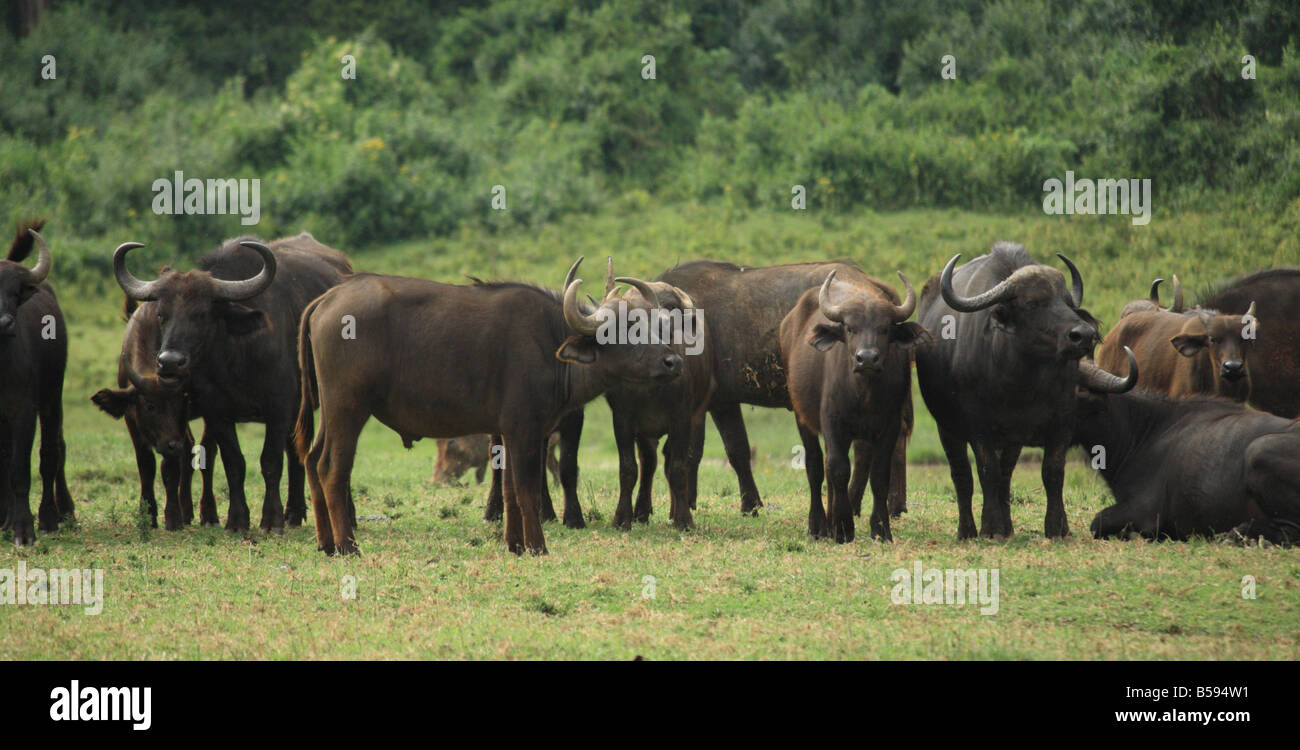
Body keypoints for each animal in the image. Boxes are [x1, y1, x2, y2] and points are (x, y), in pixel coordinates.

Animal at [112, 231, 352, 532]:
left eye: (201, 314)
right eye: (161, 315)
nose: (169, 361)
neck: (236, 357)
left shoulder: (279, 407)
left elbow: (270, 461)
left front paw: (271, 519)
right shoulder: (216, 411)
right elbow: (233, 463)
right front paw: (237, 520)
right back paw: (293, 513)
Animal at [293, 258, 683, 555]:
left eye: (652, 324)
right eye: (627, 329)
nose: (673, 361)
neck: (550, 341)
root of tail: (327, 299)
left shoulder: (509, 432)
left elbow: (509, 489)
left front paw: (515, 545)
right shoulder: (525, 428)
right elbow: (527, 488)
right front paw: (537, 546)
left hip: (330, 412)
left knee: (311, 458)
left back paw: (325, 543)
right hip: (348, 409)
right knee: (332, 469)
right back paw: (347, 546)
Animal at [781, 269, 929, 543]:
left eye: (884, 328)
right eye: (850, 328)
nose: (867, 358)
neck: (863, 393)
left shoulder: (890, 425)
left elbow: (879, 474)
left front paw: (880, 529)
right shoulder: (832, 422)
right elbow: (839, 469)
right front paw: (842, 528)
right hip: (802, 416)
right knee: (816, 466)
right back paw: (818, 525)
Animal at [916, 242, 1136, 539]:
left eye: (1067, 302)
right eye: (1033, 303)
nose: (1084, 335)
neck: (1021, 382)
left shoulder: (1062, 421)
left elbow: (1052, 472)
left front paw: (1057, 528)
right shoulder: (977, 425)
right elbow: (987, 471)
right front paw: (990, 528)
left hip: (1012, 439)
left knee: (1007, 474)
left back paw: (1008, 527)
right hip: (947, 429)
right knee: (962, 474)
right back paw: (968, 530)